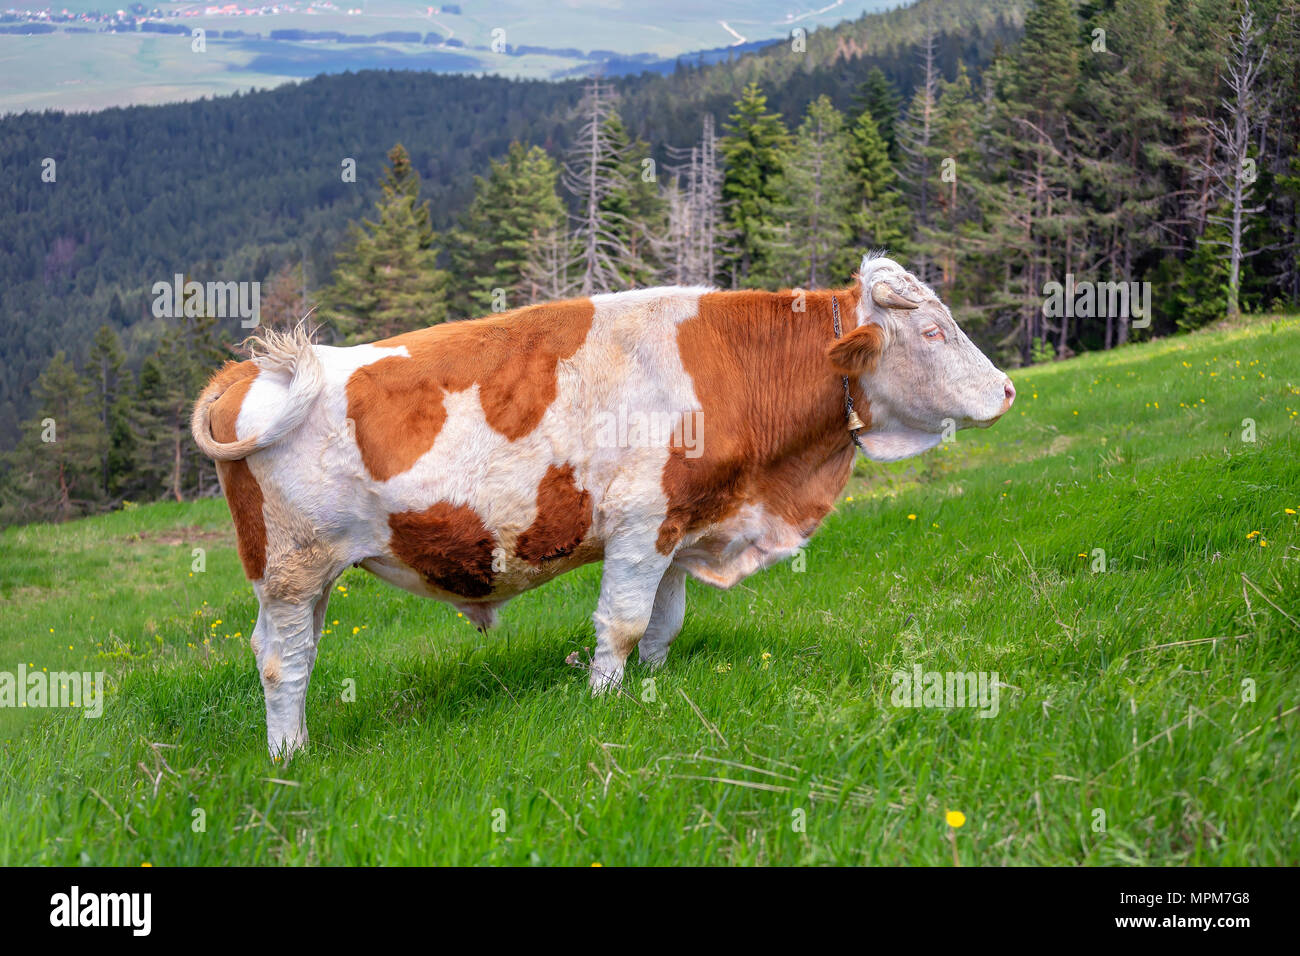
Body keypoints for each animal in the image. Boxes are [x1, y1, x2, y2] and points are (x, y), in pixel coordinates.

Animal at [191, 254, 1015, 758]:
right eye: (933, 329)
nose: (1007, 389)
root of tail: (261, 366)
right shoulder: (640, 523)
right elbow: (619, 623)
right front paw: (604, 700)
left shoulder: (683, 523)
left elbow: (663, 623)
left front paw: (651, 685)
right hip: (291, 569)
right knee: (282, 660)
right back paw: (290, 754)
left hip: (310, 577)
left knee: (290, 652)